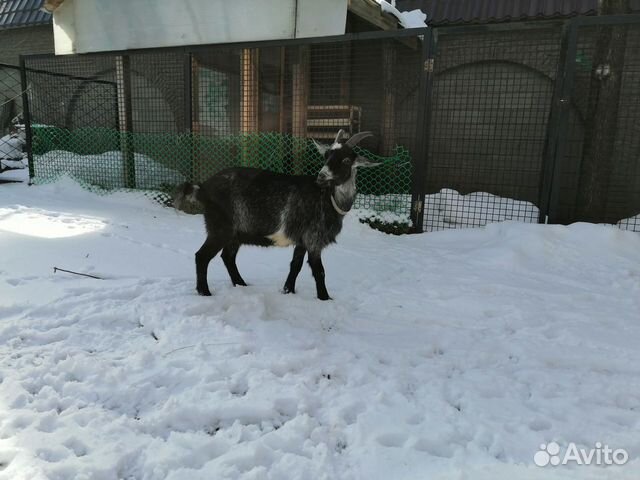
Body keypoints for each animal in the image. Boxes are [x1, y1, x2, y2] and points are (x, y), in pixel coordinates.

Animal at [175, 130, 379, 300]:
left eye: (346, 160)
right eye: (326, 156)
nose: (321, 177)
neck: (328, 197)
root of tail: (203, 188)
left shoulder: (302, 239)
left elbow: (295, 265)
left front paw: (288, 290)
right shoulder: (313, 239)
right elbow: (319, 271)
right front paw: (325, 299)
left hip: (235, 234)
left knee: (228, 257)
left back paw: (242, 284)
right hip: (220, 228)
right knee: (202, 256)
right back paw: (205, 293)